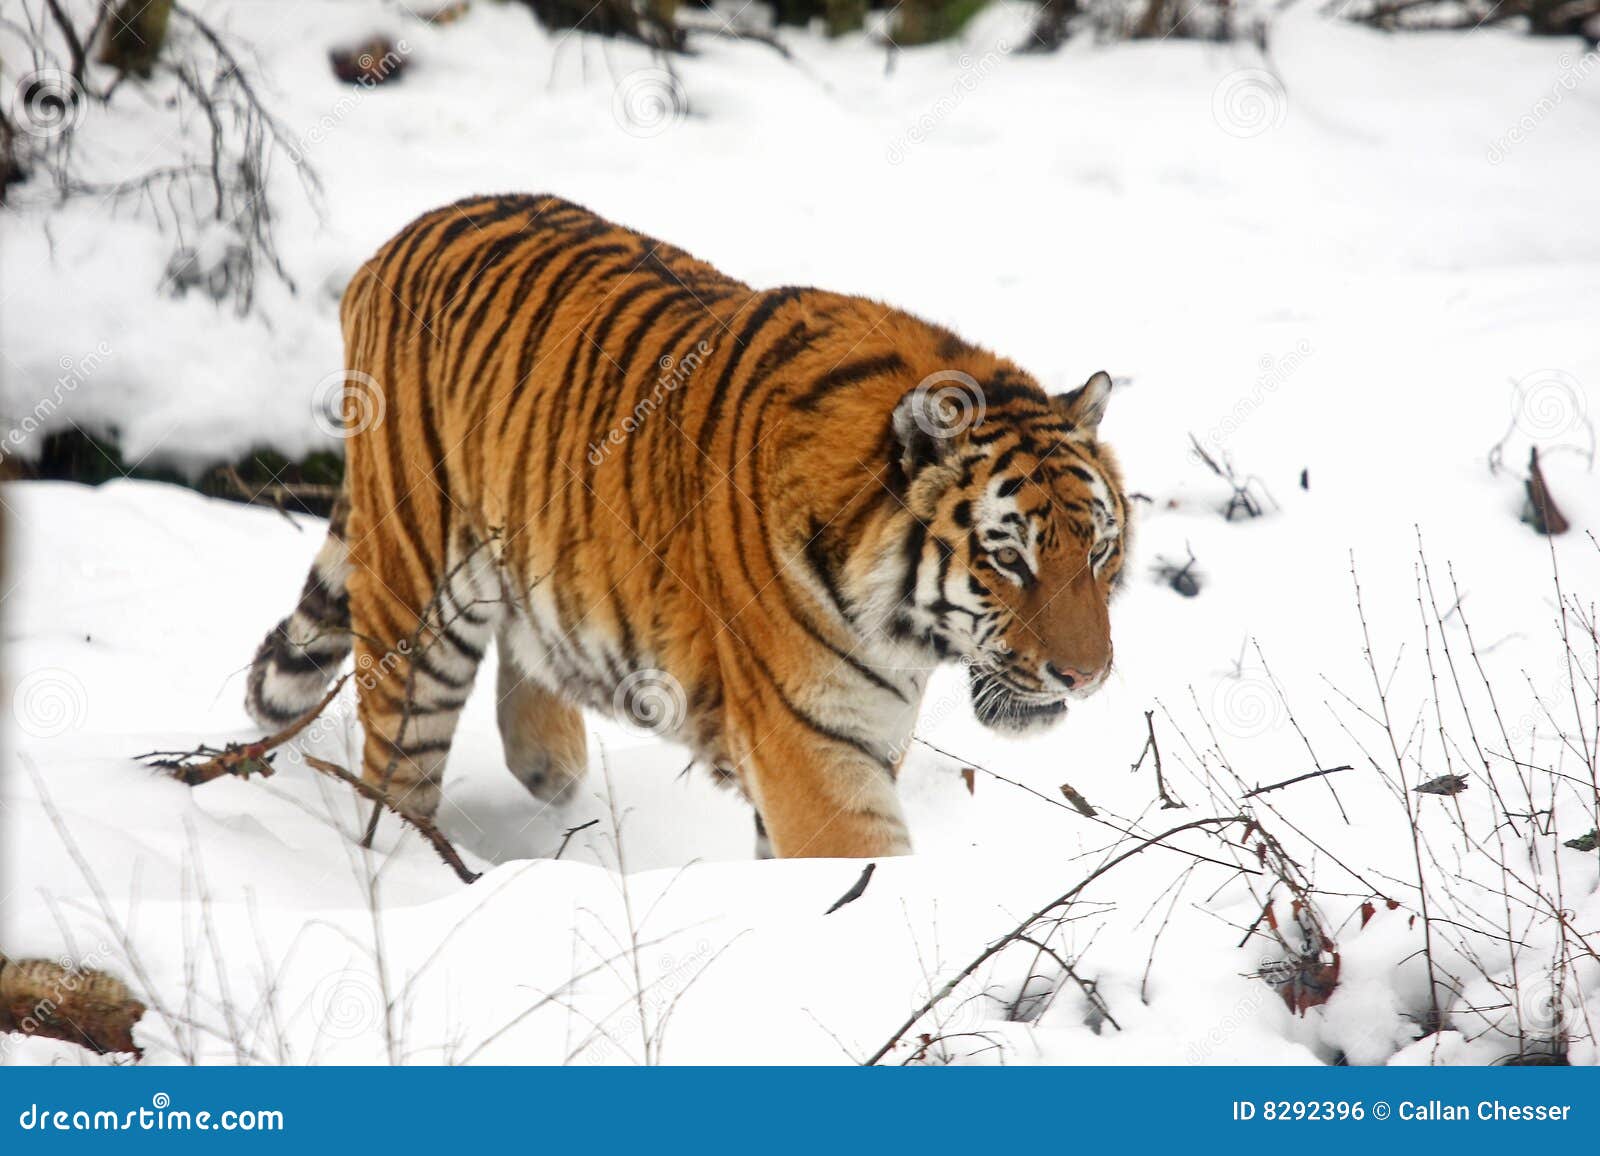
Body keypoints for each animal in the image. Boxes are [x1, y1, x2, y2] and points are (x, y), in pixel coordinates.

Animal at [245, 194, 1128, 860]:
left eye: (1098, 553)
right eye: (1007, 559)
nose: (1086, 678)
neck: (903, 633)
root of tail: (400, 237)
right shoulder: (814, 750)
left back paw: (549, 762)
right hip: (416, 601)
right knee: (393, 777)